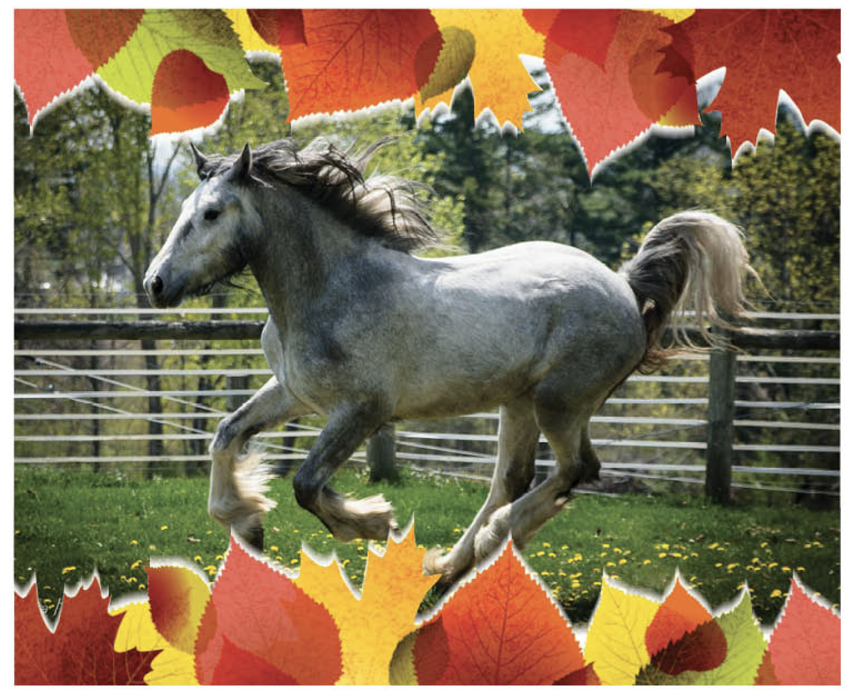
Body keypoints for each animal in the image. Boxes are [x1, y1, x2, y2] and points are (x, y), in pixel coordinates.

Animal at [144, 136, 755, 585]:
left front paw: (375, 521)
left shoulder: (363, 410)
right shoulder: (293, 393)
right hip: (520, 401)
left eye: (212, 213)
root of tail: (626, 287)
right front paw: (246, 524)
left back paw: (491, 541)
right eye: (186, 210)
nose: (155, 284)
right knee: (513, 477)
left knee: (576, 470)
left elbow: (307, 483)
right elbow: (226, 434)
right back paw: (452, 565)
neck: (333, 288)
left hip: (560, 401)